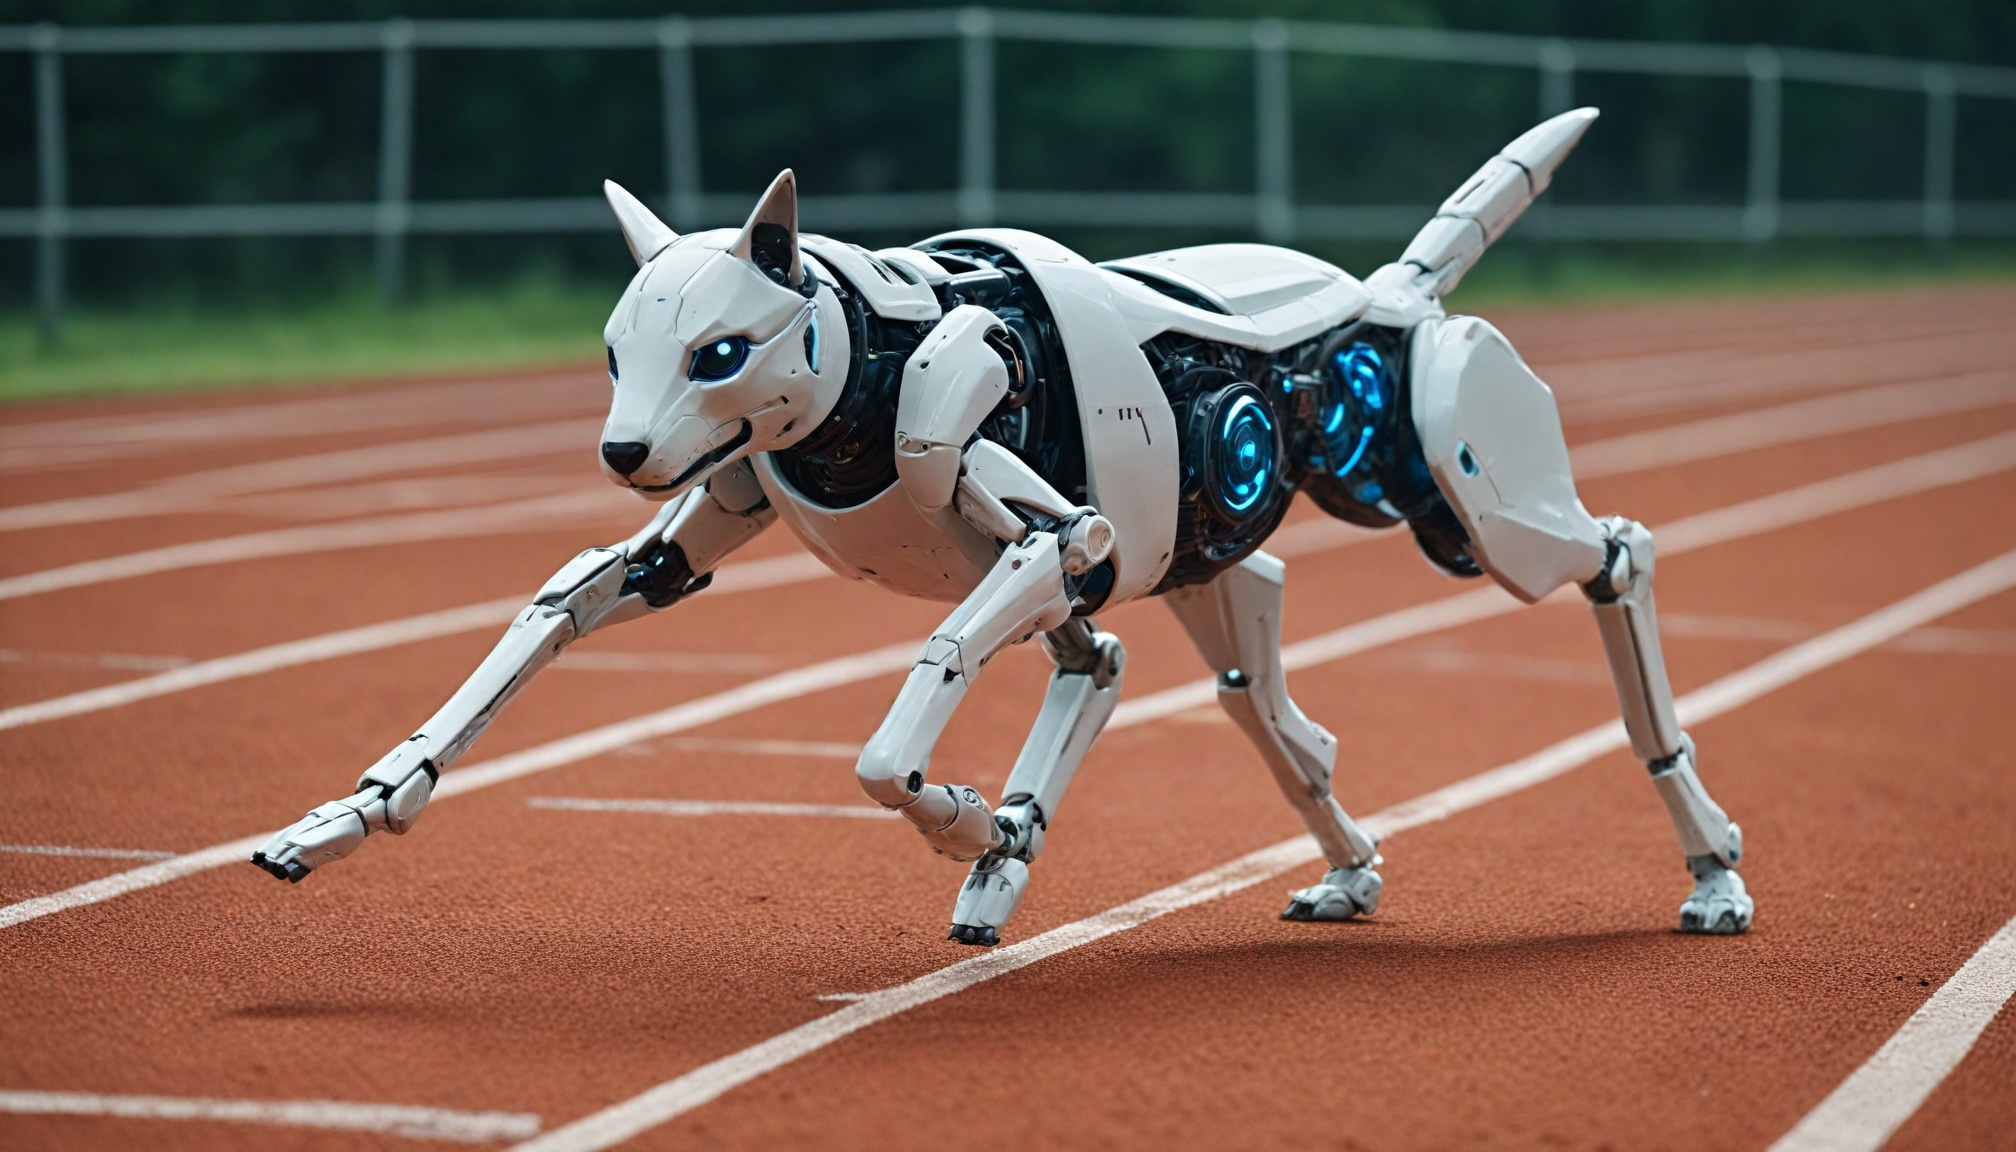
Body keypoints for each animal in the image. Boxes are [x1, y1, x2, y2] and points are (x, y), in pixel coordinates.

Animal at [260, 110, 1757, 948]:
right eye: (617, 352)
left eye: (721, 349)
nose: (625, 453)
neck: (873, 343)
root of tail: (1391, 289)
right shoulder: (718, 517)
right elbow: (568, 604)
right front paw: (340, 819)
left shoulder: (1043, 528)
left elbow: (896, 739)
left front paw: (972, 823)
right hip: (1216, 570)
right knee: (1260, 701)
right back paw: (1342, 874)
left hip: (1466, 497)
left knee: (1619, 551)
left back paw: (1712, 869)